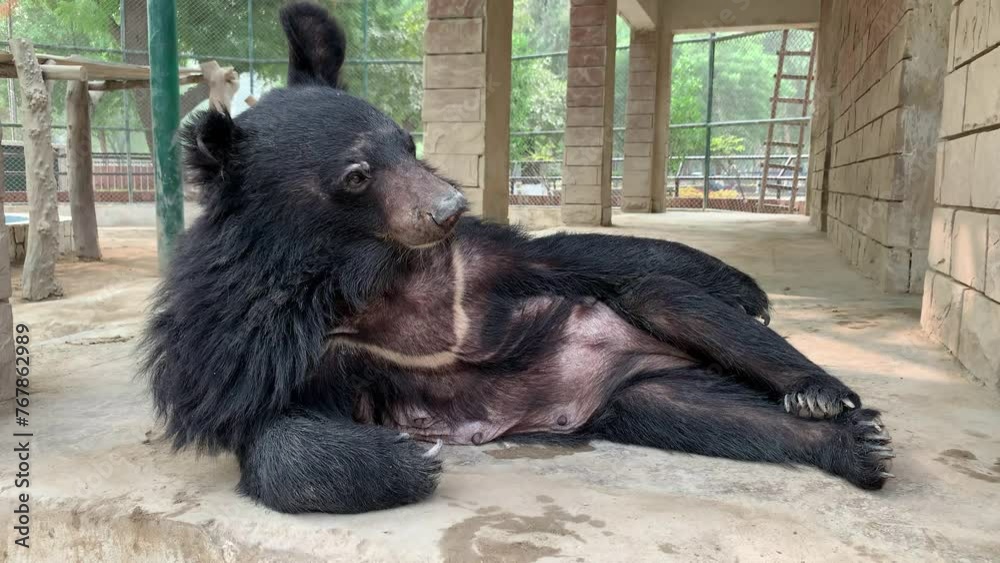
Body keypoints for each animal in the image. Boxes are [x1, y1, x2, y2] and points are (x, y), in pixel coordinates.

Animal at [141, 2, 893, 515]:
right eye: (356, 176)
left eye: (407, 141)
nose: (448, 206)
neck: (358, 268)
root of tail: (647, 359)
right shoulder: (244, 339)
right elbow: (264, 428)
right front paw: (406, 455)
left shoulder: (468, 268)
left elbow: (562, 252)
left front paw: (749, 291)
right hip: (646, 398)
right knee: (725, 420)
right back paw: (855, 446)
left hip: (646, 329)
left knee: (663, 293)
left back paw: (820, 395)